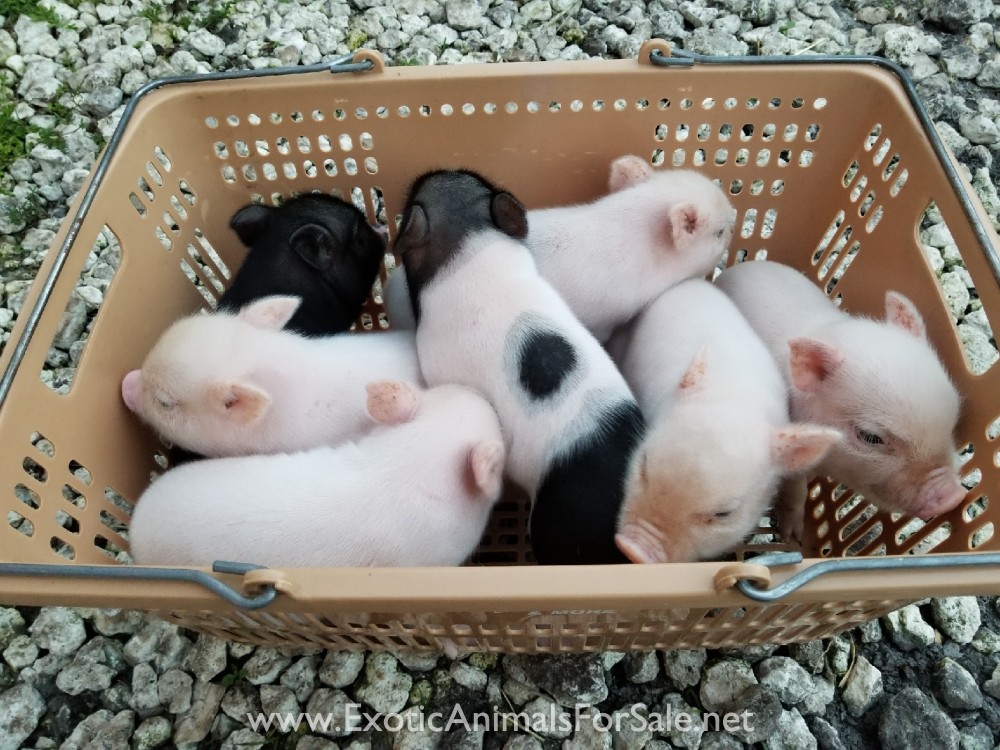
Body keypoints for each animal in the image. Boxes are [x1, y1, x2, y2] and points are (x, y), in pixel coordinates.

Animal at [606, 278, 841, 563]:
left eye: (724, 514)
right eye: (643, 467)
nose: (634, 549)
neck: (734, 398)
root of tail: (693, 281)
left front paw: (793, 536)